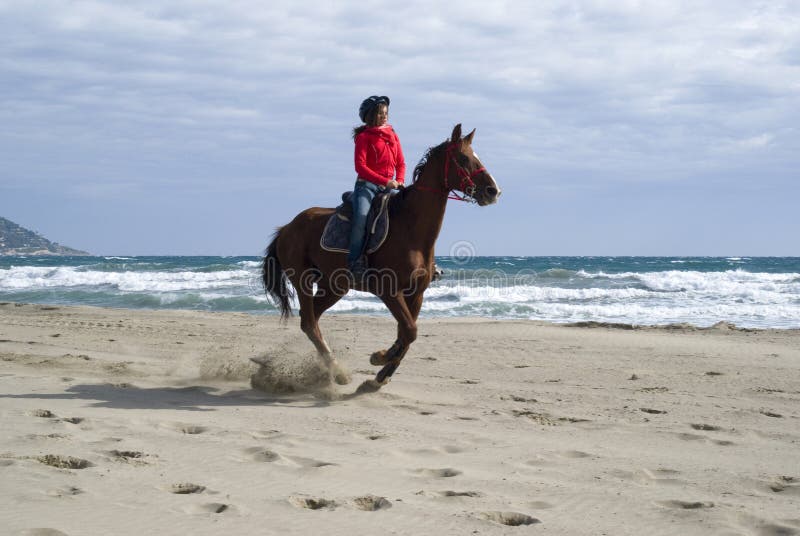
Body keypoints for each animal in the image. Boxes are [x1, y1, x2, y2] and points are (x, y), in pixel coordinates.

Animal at [261, 124, 501, 386]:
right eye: (463, 158)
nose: (493, 190)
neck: (410, 228)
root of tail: (287, 228)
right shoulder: (390, 291)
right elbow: (410, 331)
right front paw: (381, 357)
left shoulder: (416, 294)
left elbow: (407, 333)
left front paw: (383, 371)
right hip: (303, 279)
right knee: (309, 322)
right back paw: (336, 369)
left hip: (333, 286)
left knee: (312, 318)